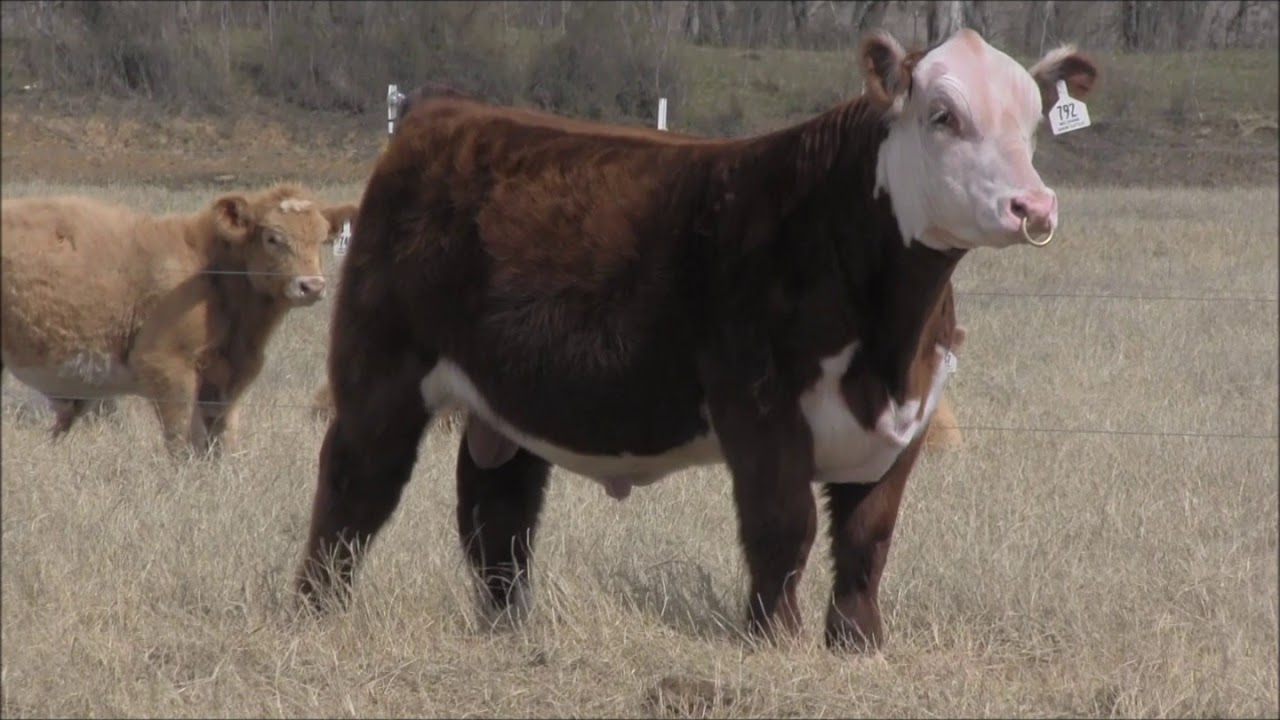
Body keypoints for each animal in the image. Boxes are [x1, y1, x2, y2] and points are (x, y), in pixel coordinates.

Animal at [0, 185, 359, 458]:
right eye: (273, 237)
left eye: (322, 238)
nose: (311, 285)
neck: (209, 269)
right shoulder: (168, 370)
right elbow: (180, 442)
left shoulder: (226, 383)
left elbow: (221, 442)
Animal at [294, 29, 1098, 651]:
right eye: (942, 115)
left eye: (1032, 123)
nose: (1033, 206)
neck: (889, 347)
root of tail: (448, 109)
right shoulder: (758, 405)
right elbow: (785, 528)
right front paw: (774, 641)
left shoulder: (911, 419)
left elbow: (867, 538)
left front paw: (858, 644)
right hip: (381, 370)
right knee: (354, 486)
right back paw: (315, 610)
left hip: (505, 399)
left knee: (497, 507)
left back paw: (508, 626)